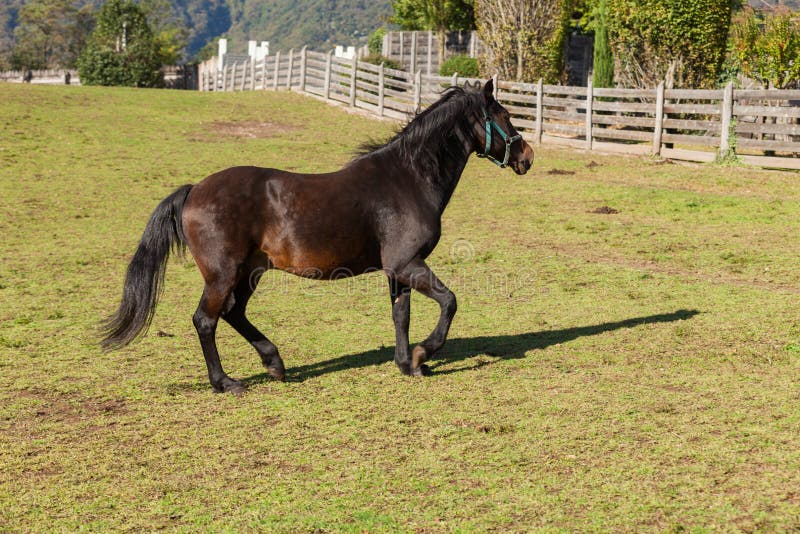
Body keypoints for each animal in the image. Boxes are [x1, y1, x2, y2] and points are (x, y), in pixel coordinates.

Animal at [101, 79, 534, 394]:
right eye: (505, 115)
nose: (527, 156)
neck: (408, 179)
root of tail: (194, 191)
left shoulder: (397, 269)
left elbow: (401, 314)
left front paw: (406, 363)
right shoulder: (409, 264)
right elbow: (449, 302)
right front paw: (424, 354)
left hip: (250, 272)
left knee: (233, 313)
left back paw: (274, 363)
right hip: (223, 275)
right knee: (206, 320)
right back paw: (226, 382)